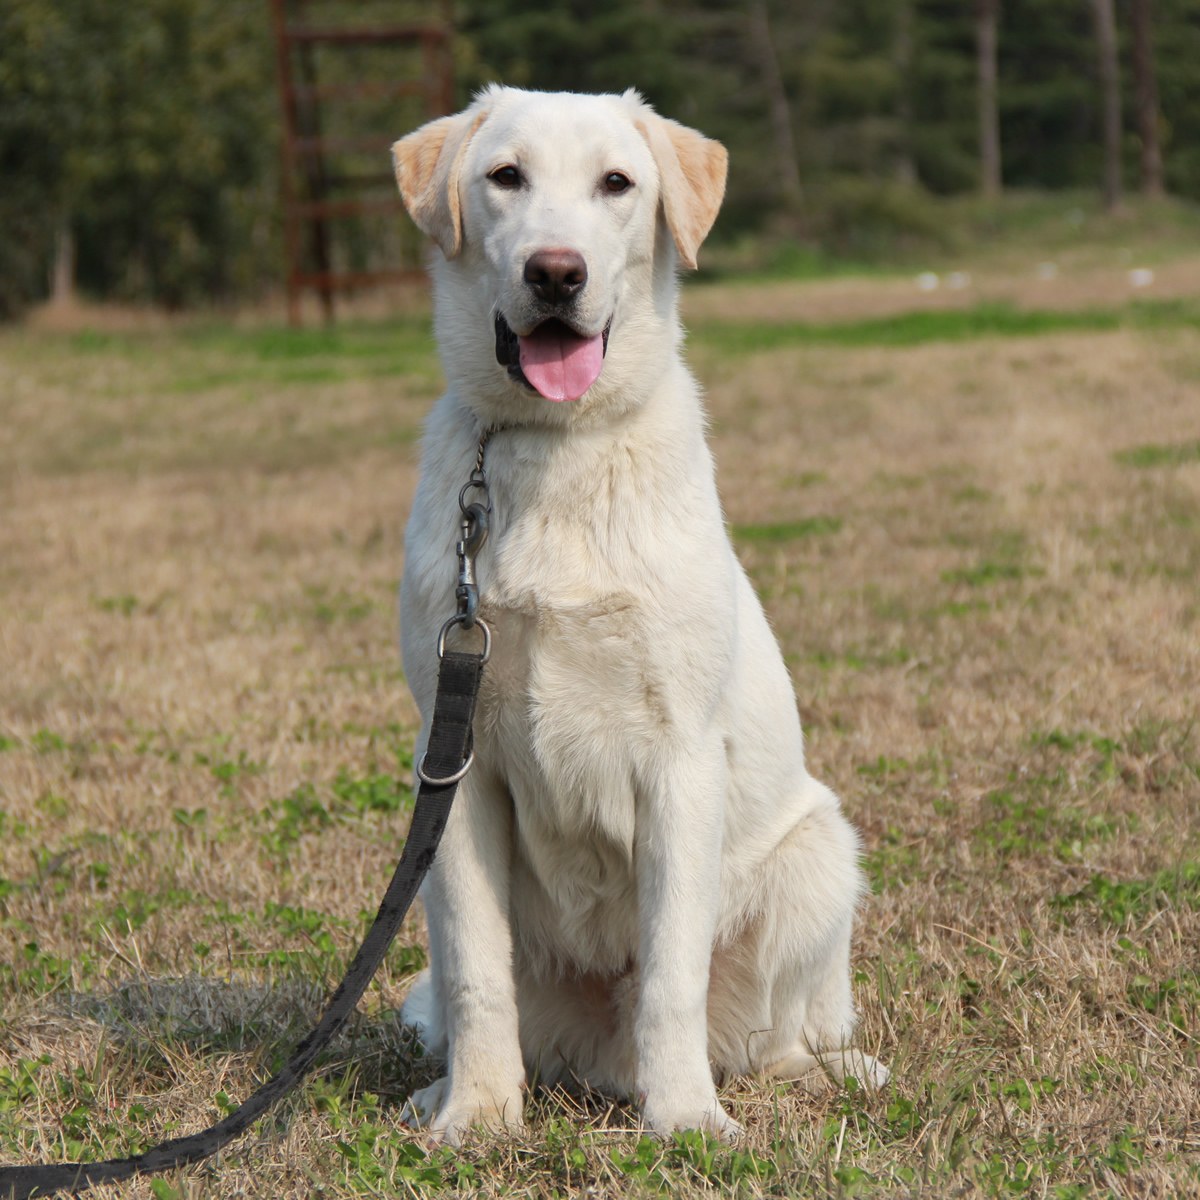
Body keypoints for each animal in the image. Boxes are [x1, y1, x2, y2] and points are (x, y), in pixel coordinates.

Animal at [388, 87, 888, 1142]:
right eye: (505, 176)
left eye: (617, 184)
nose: (555, 271)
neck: (556, 448)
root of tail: (599, 1060)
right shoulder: (455, 762)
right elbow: (480, 975)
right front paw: (477, 1117)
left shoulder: (680, 761)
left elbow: (670, 973)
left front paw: (688, 1123)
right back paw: (440, 1090)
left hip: (819, 853)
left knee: (782, 1034)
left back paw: (824, 1074)